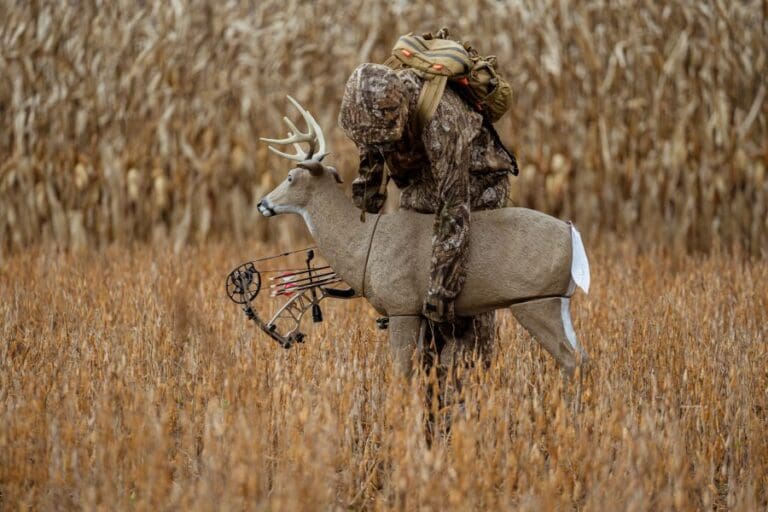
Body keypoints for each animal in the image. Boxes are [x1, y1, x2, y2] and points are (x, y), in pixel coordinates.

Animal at [257, 97, 591, 376]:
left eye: (290, 177)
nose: (262, 203)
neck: (365, 244)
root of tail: (571, 232)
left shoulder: (401, 305)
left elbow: (401, 372)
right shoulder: (417, 313)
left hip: (535, 300)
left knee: (570, 359)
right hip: (560, 300)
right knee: (584, 356)